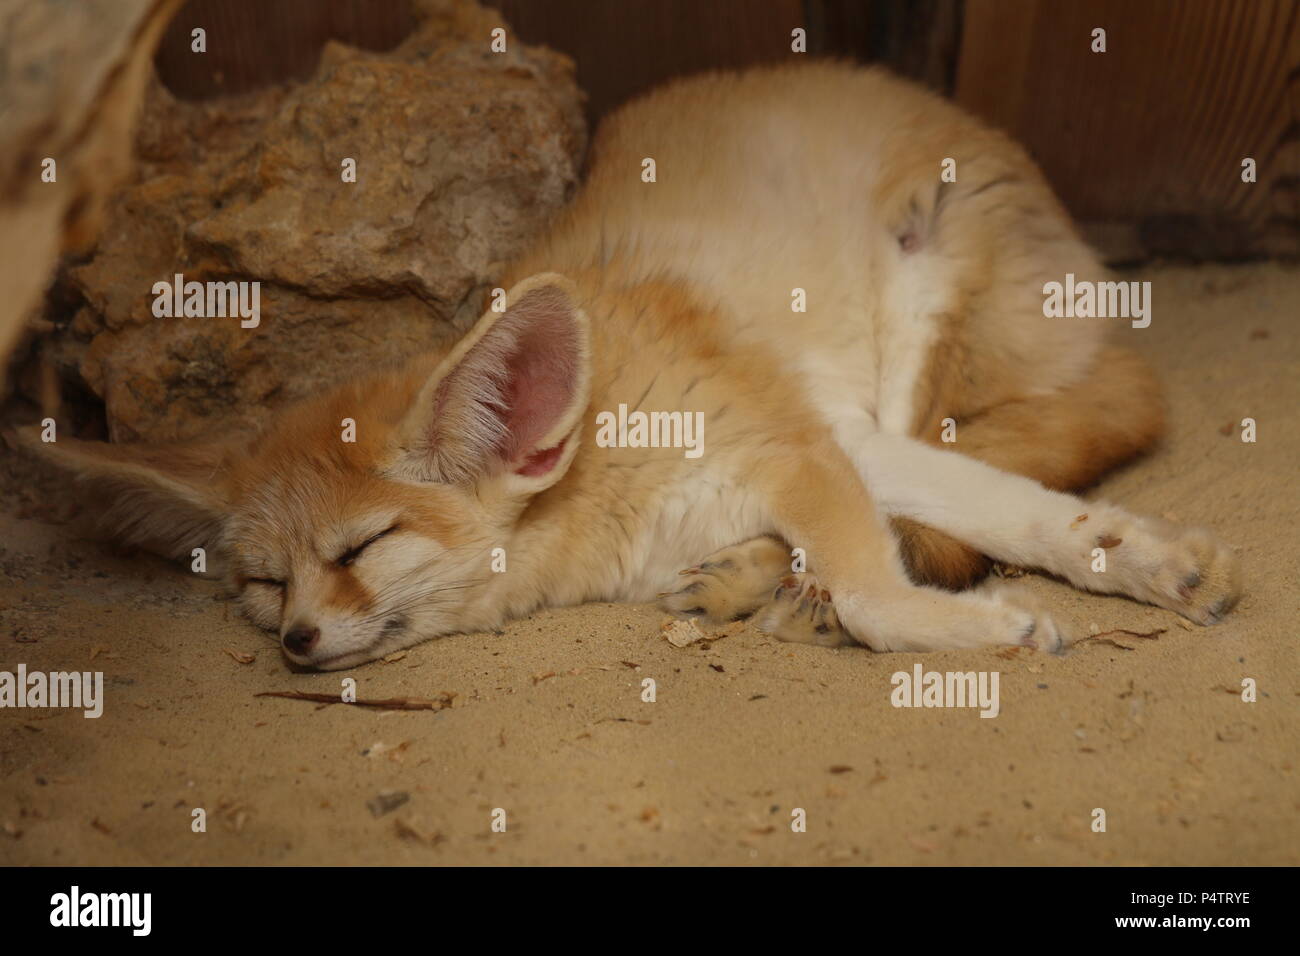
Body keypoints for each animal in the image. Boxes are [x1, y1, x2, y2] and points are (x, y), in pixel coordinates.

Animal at [13, 63, 1240, 670]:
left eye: (362, 548)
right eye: (264, 585)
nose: (297, 640)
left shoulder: (805, 436)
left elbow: (948, 546)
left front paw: (1112, 576)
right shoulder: (812, 450)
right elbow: (916, 539)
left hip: (919, 301)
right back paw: (750, 578)